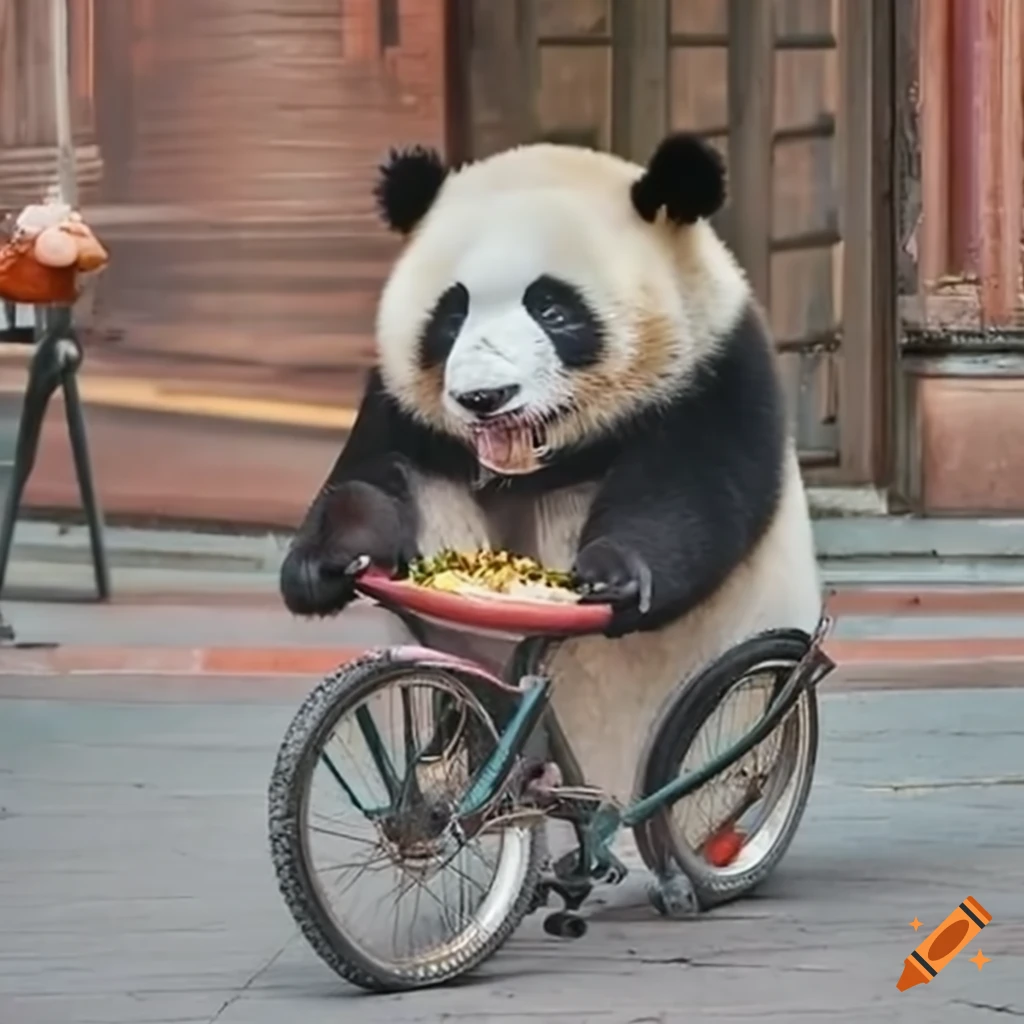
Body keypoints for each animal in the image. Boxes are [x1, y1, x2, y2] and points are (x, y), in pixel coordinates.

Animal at [280, 131, 822, 808]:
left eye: (553, 311)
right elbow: (374, 476)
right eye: (450, 316)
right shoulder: (399, 409)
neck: (538, 461)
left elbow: (689, 499)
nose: (484, 397)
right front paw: (324, 561)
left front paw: (617, 573)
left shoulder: (715, 375)